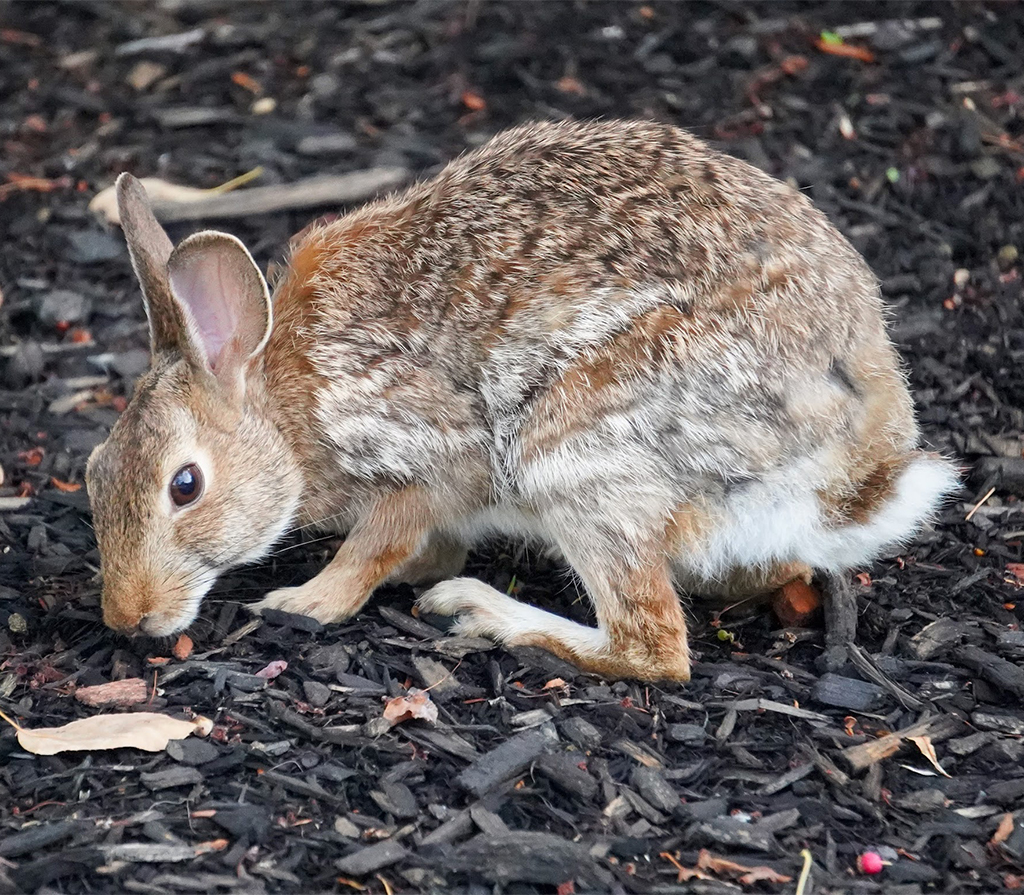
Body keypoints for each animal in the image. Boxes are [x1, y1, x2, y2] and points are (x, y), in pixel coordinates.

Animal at [86, 119, 959, 682]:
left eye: (185, 485)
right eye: (94, 472)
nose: (126, 618)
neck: (279, 402)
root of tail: (860, 466)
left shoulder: (434, 450)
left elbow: (376, 542)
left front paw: (305, 601)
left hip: (570, 450)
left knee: (652, 649)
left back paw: (484, 612)